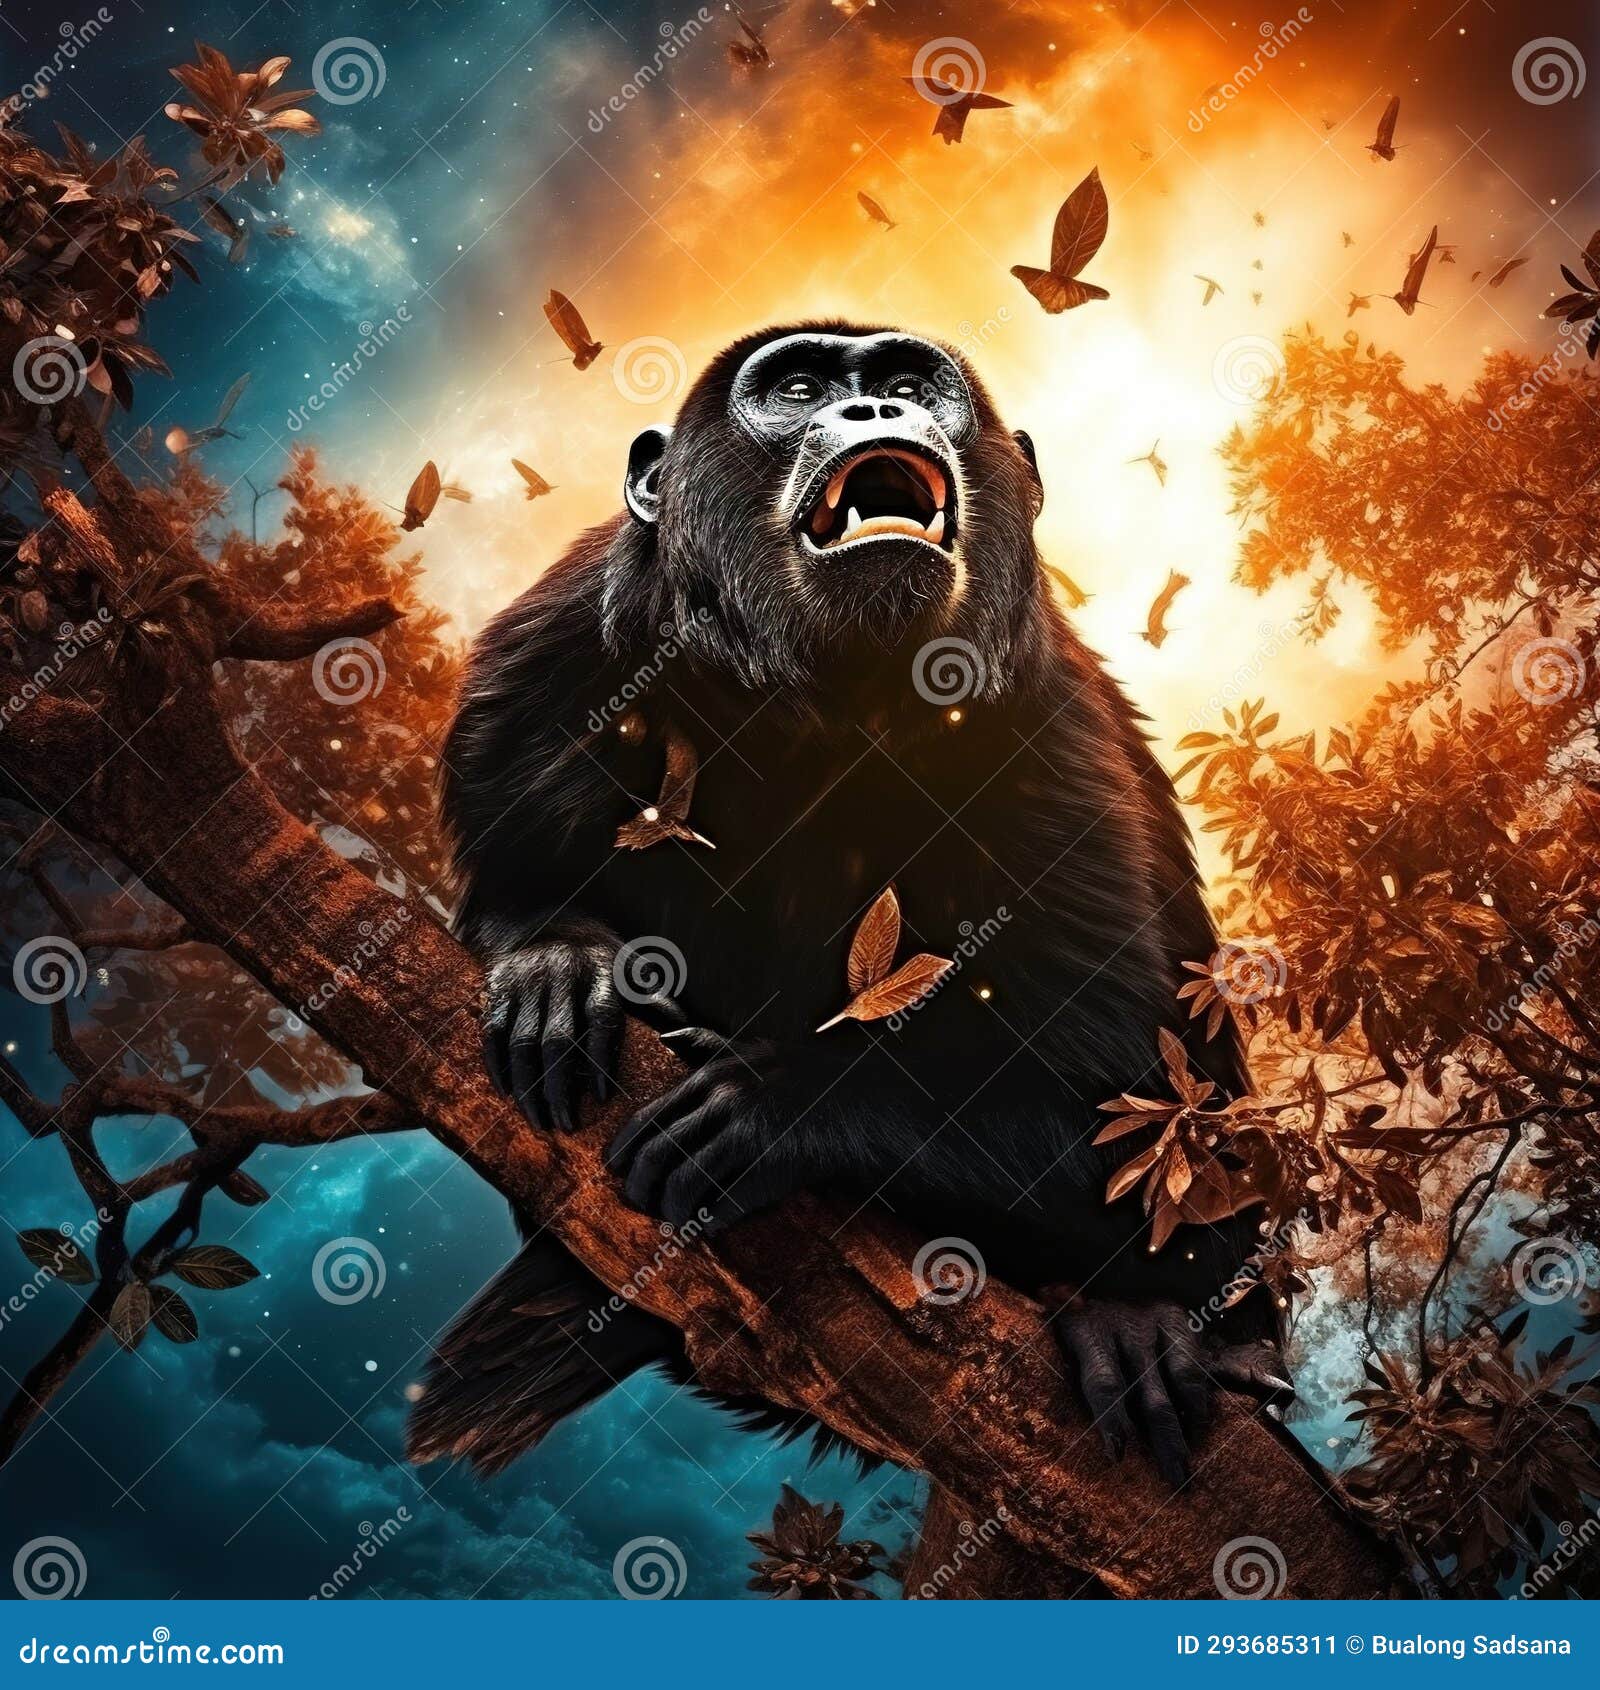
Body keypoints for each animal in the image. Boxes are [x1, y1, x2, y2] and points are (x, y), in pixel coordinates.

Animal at [407, 323, 1286, 1486]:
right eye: (796, 387)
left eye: (910, 382)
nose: (873, 411)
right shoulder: (557, 646)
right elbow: (513, 877)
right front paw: (553, 958)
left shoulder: (1053, 734)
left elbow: (1131, 1120)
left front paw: (787, 1106)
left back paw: (1138, 1325)